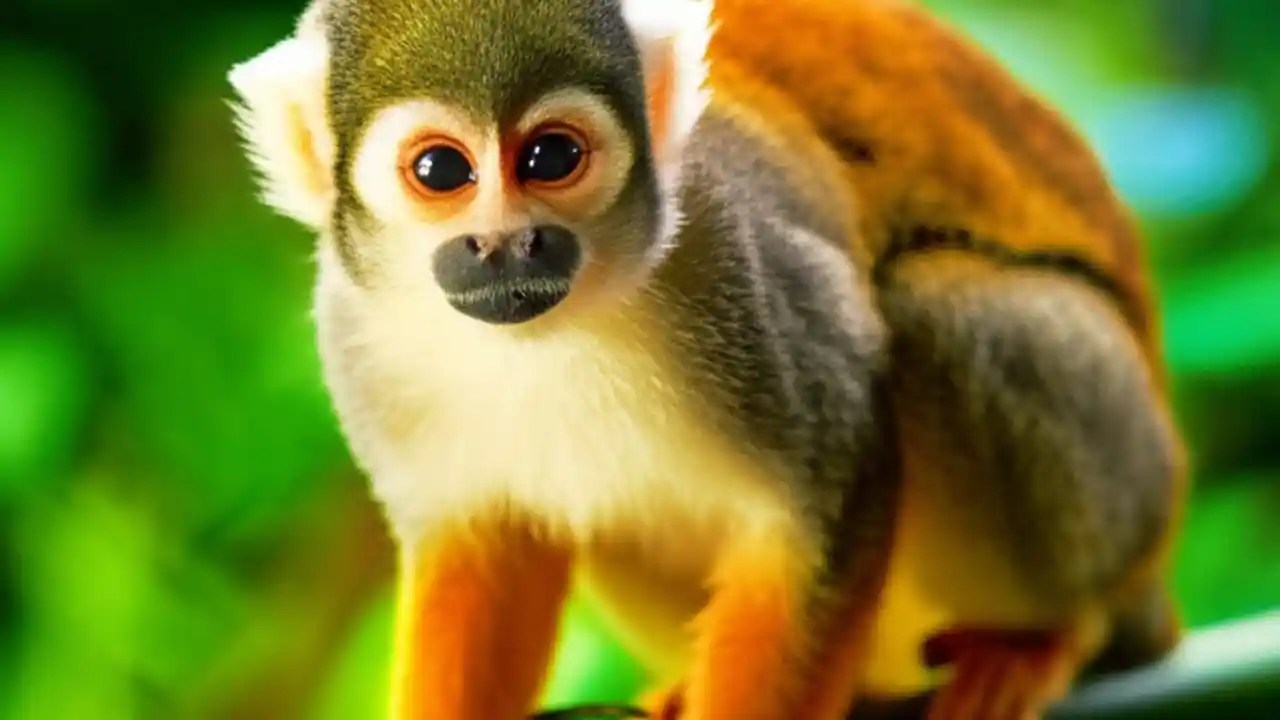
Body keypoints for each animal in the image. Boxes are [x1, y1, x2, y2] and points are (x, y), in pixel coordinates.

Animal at [227, 0, 1186, 719]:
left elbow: (826, 509)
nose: (507, 246)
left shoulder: (739, 261)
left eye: (551, 156)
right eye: (439, 170)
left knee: (935, 309)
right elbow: (485, 548)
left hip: (1125, 475)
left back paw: (1048, 636)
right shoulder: (352, 329)